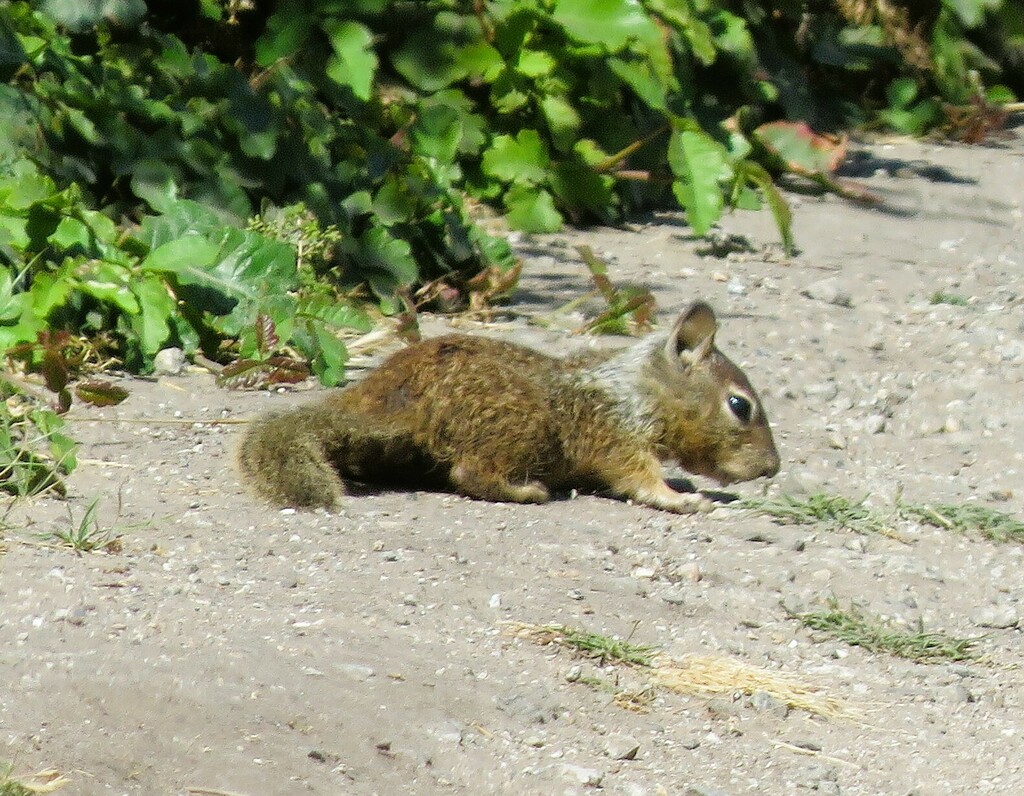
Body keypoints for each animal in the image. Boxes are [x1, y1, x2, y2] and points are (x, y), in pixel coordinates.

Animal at [236, 301, 780, 513]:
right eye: (739, 405)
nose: (772, 468)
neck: (634, 386)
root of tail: (386, 398)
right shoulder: (614, 434)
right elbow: (638, 477)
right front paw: (681, 497)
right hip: (520, 425)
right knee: (470, 473)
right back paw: (526, 491)